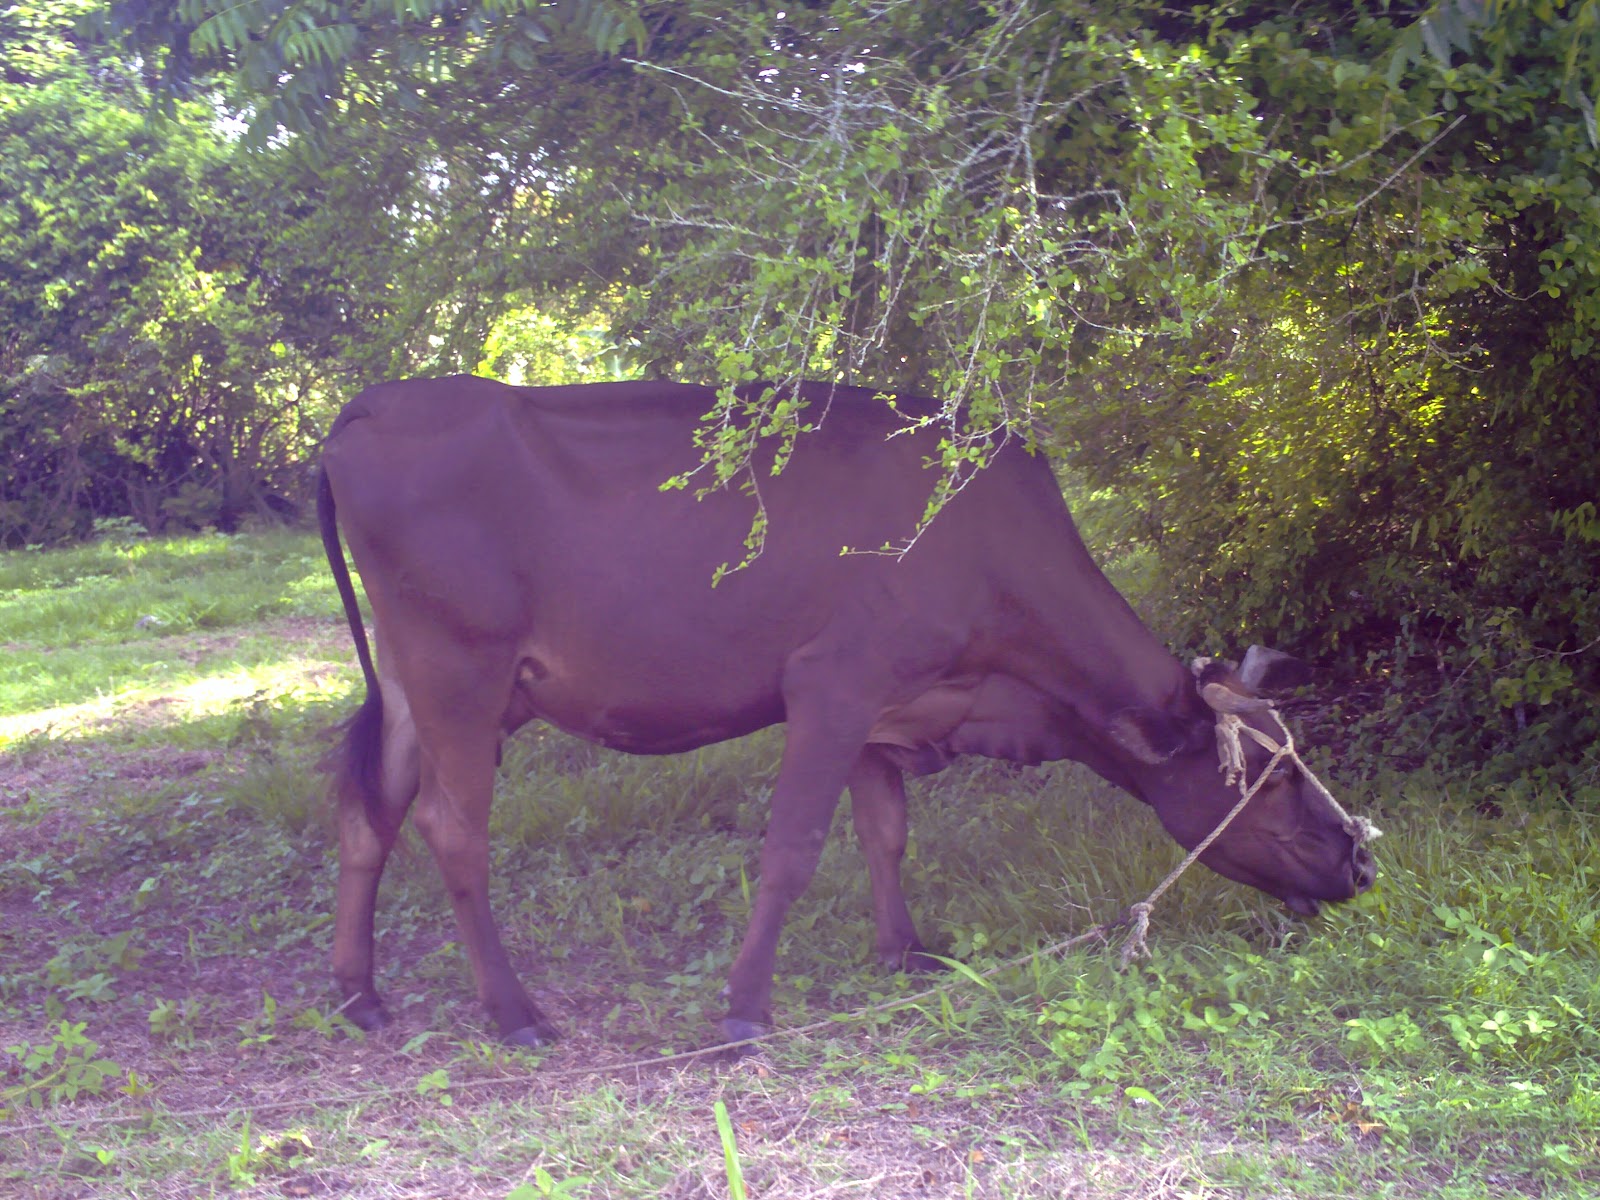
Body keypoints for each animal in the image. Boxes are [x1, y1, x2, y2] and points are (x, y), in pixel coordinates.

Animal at [317, 376, 1376, 1049]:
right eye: (1269, 775)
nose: (1361, 860)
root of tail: (372, 402)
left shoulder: (883, 708)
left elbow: (885, 833)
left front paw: (903, 951)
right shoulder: (831, 684)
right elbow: (792, 851)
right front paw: (746, 1010)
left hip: (411, 685)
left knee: (367, 816)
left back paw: (359, 995)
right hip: (462, 672)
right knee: (452, 830)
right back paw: (515, 1013)